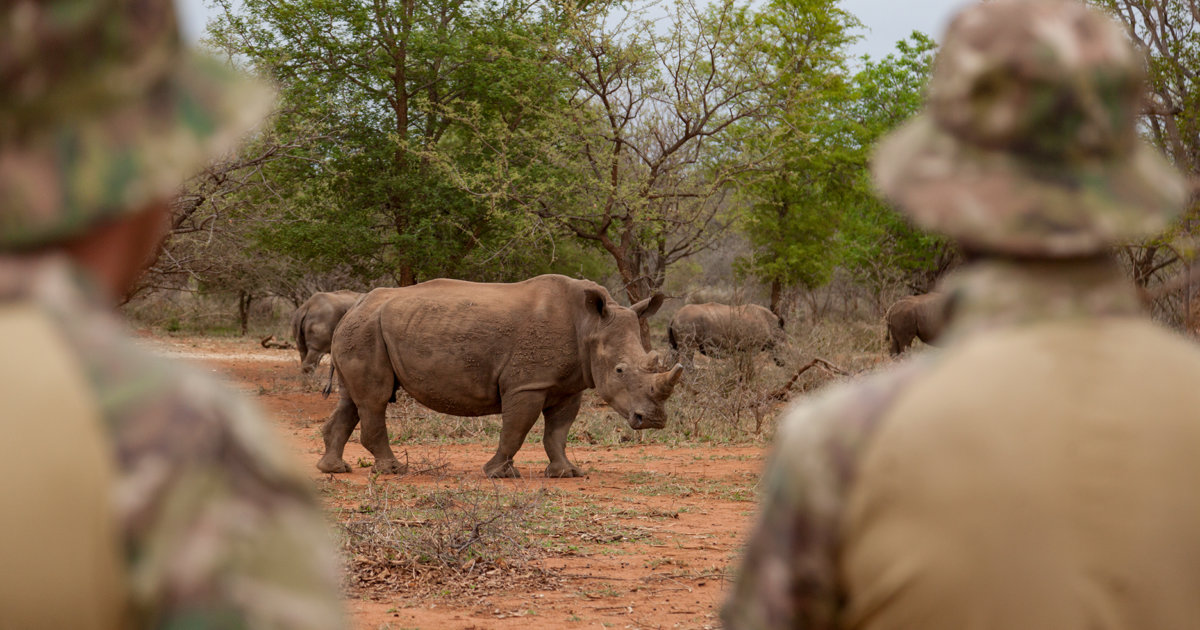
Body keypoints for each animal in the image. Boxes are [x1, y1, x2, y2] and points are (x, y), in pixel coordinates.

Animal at [317, 275, 683, 478]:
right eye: (620, 370)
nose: (653, 420)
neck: (590, 325)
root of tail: (354, 306)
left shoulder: (569, 386)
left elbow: (558, 432)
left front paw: (567, 473)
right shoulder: (527, 384)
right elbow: (516, 429)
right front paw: (500, 474)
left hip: (362, 328)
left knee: (352, 401)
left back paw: (334, 469)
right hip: (367, 329)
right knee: (374, 400)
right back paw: (393, 470)